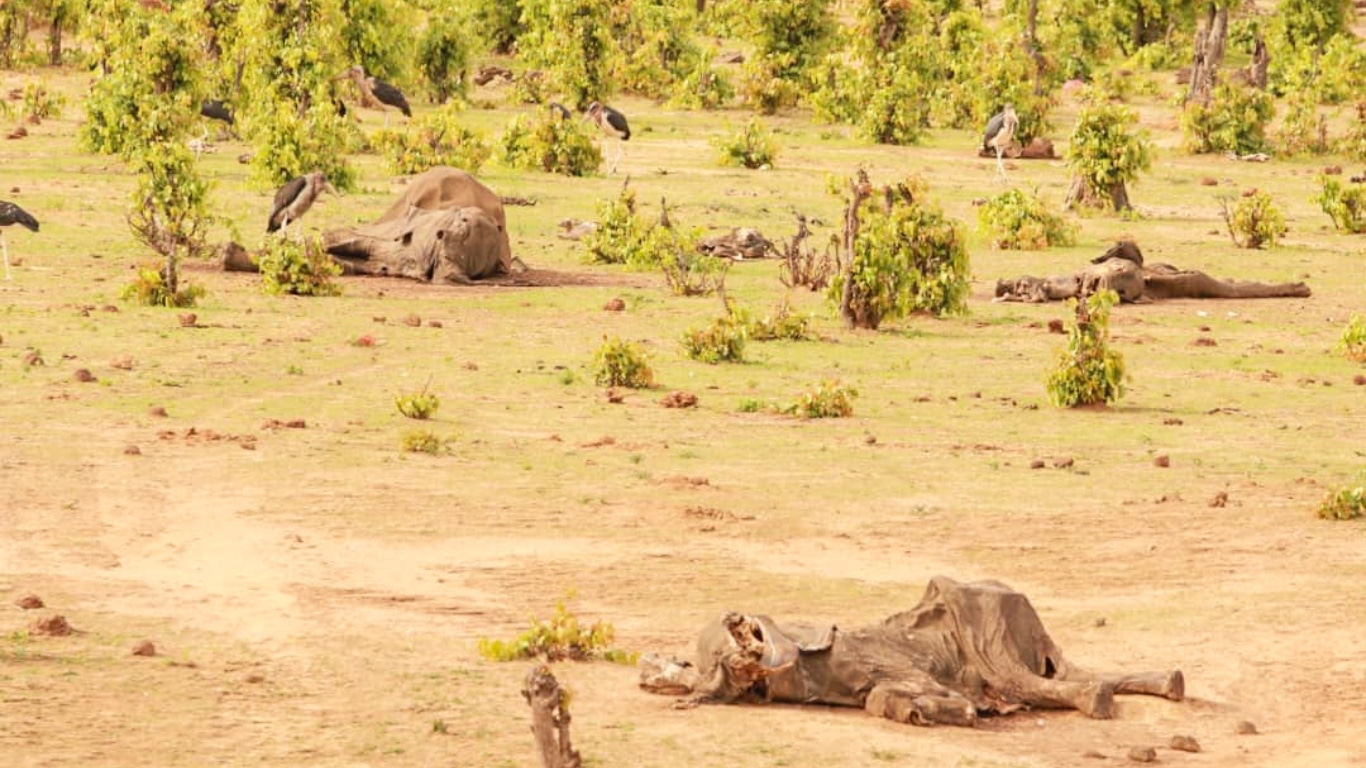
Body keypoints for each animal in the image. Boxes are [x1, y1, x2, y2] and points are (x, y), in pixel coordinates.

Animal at [639, 576, 1184, 727]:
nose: (736, 618)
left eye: (744, 629)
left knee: (1041, 678)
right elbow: (882, 698)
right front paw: (946, 713)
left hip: (996, 624)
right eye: (726, 661)